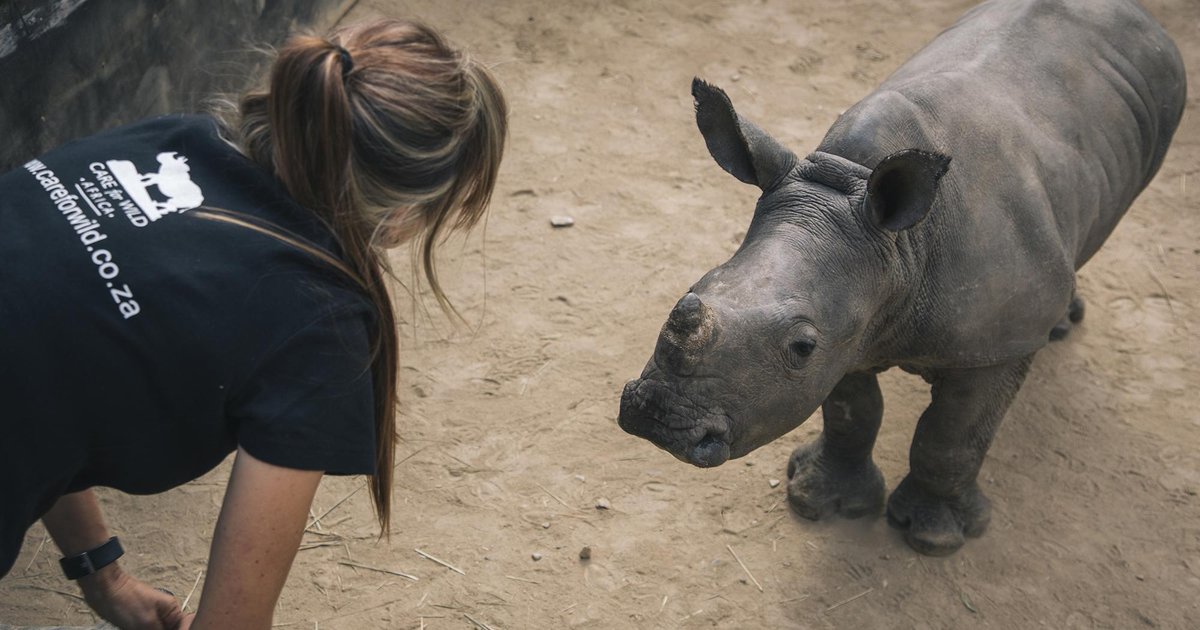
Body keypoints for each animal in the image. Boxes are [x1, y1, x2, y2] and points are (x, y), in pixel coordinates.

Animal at [617, 0, 1185, 555]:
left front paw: (935, 537)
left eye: (801, 347)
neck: (899, 248)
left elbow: (950, 438)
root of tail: (1141, 16)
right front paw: (823, 499)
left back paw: (1062, 323)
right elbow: (852, 411)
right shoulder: (852, 317)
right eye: (695, 287)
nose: (657, 416)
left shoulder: (996, 343)